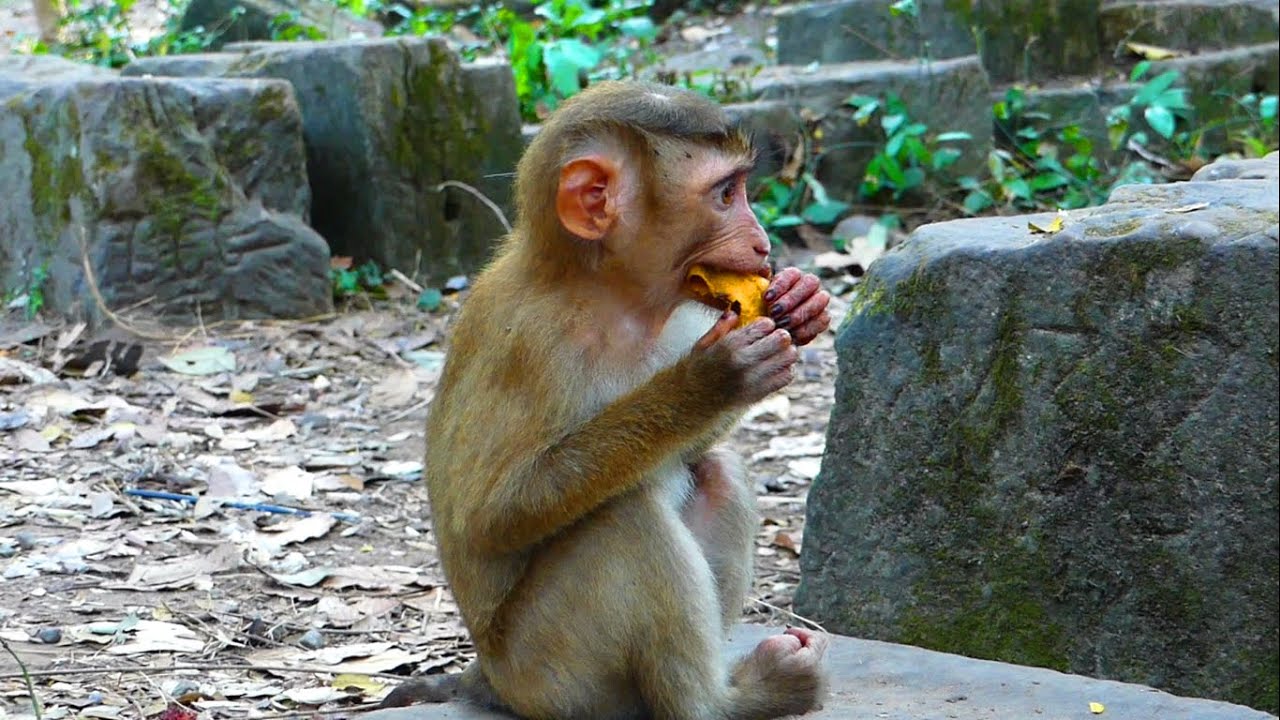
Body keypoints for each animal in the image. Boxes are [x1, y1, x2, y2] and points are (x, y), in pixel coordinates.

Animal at [383, 80, 833, 719]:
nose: (763, 242)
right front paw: (710, 380)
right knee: (625, 518)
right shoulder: (531, 345)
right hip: (549, 675)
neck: (605, 295)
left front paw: (800, 300)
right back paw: (718, 702)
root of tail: (489, 678)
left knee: (716, 469)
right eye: (726, 194)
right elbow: (491, 516)